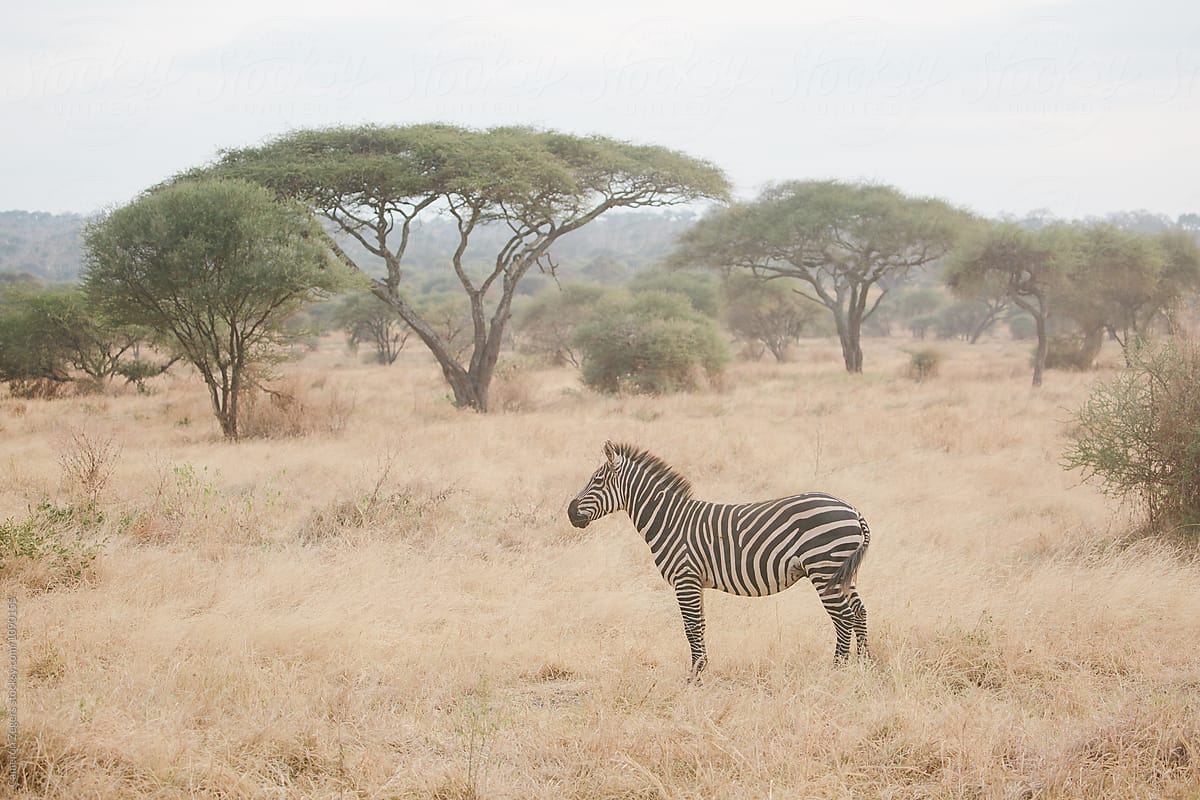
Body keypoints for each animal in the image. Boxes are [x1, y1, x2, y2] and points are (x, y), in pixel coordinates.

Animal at [567, 441, 871, 682]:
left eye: (596, 481)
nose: (570, 512)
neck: (670, 522)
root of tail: (852, 508)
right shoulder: (695, 583)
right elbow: (700, 625)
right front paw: (701, 669)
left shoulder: (685, 579)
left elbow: (690, 627)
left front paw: (693, 676)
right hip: (844, 572)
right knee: (859, 611)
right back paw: (865, 662)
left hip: (824, 569)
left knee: (843, 616)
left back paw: (837, 669)